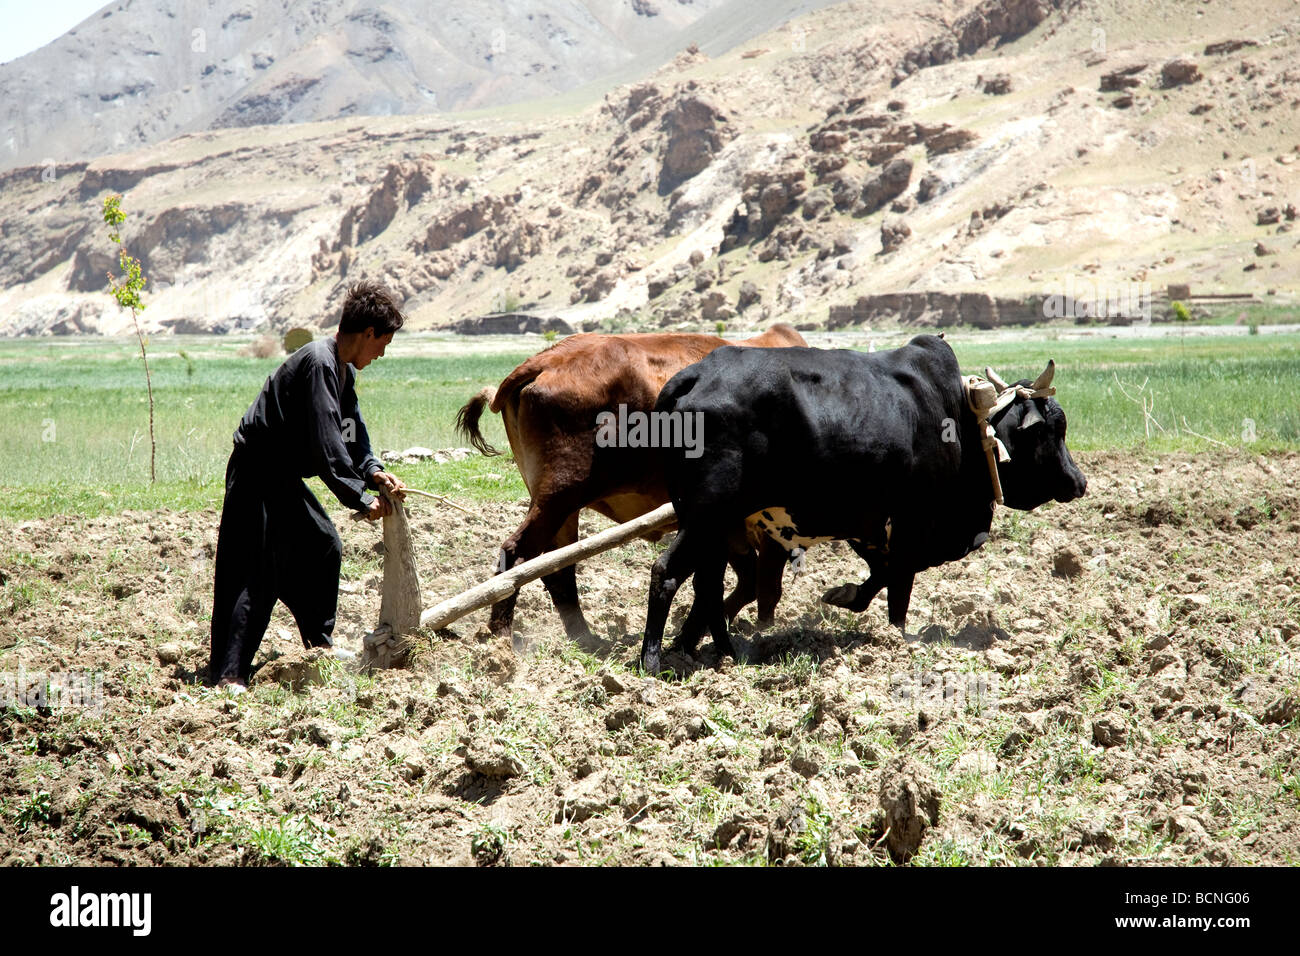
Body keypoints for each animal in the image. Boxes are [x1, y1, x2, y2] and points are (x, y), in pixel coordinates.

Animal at [456, 323, 808, 642]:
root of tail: (547, 359)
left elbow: (748, 581)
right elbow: (761, 585)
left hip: (557, 505)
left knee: (558, 570)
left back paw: (586, 640)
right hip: (559, 496)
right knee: (518, 555)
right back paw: (502, 636)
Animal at [638, 334, 1088, 676]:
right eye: (1055, 428)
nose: (1080, 482)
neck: (961, 422)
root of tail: (694, 374)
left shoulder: (867, 524)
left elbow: (880, 575)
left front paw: (844, 596)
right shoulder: (910, 523)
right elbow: (899, 589)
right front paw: (898, 639)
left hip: (711, 522)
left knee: (707, 584)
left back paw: (720, 652)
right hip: (706, 514)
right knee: (668, 572)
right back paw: (653, 662)